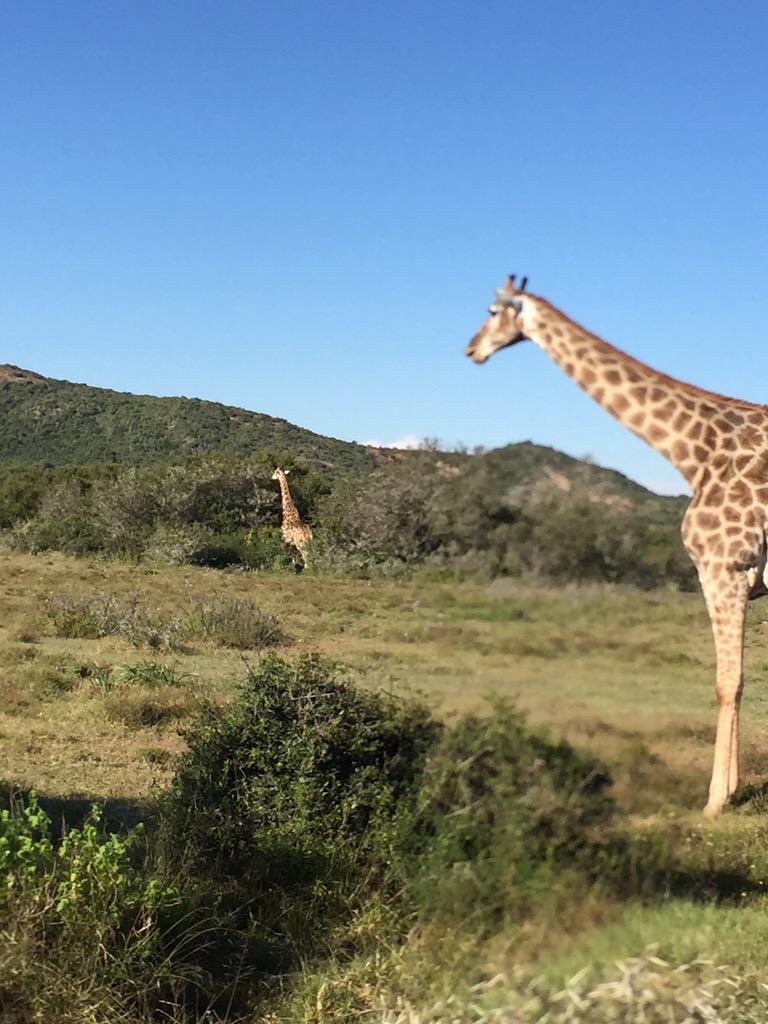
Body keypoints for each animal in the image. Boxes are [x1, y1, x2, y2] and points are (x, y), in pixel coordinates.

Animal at [466, 275, 768, 817]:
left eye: (492, 312)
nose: (471, 350)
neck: (693, 452)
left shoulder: (723, 569)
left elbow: (726, 683)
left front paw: (716, 800)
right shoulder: (740, 580)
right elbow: (740, 681)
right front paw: (732, 790)